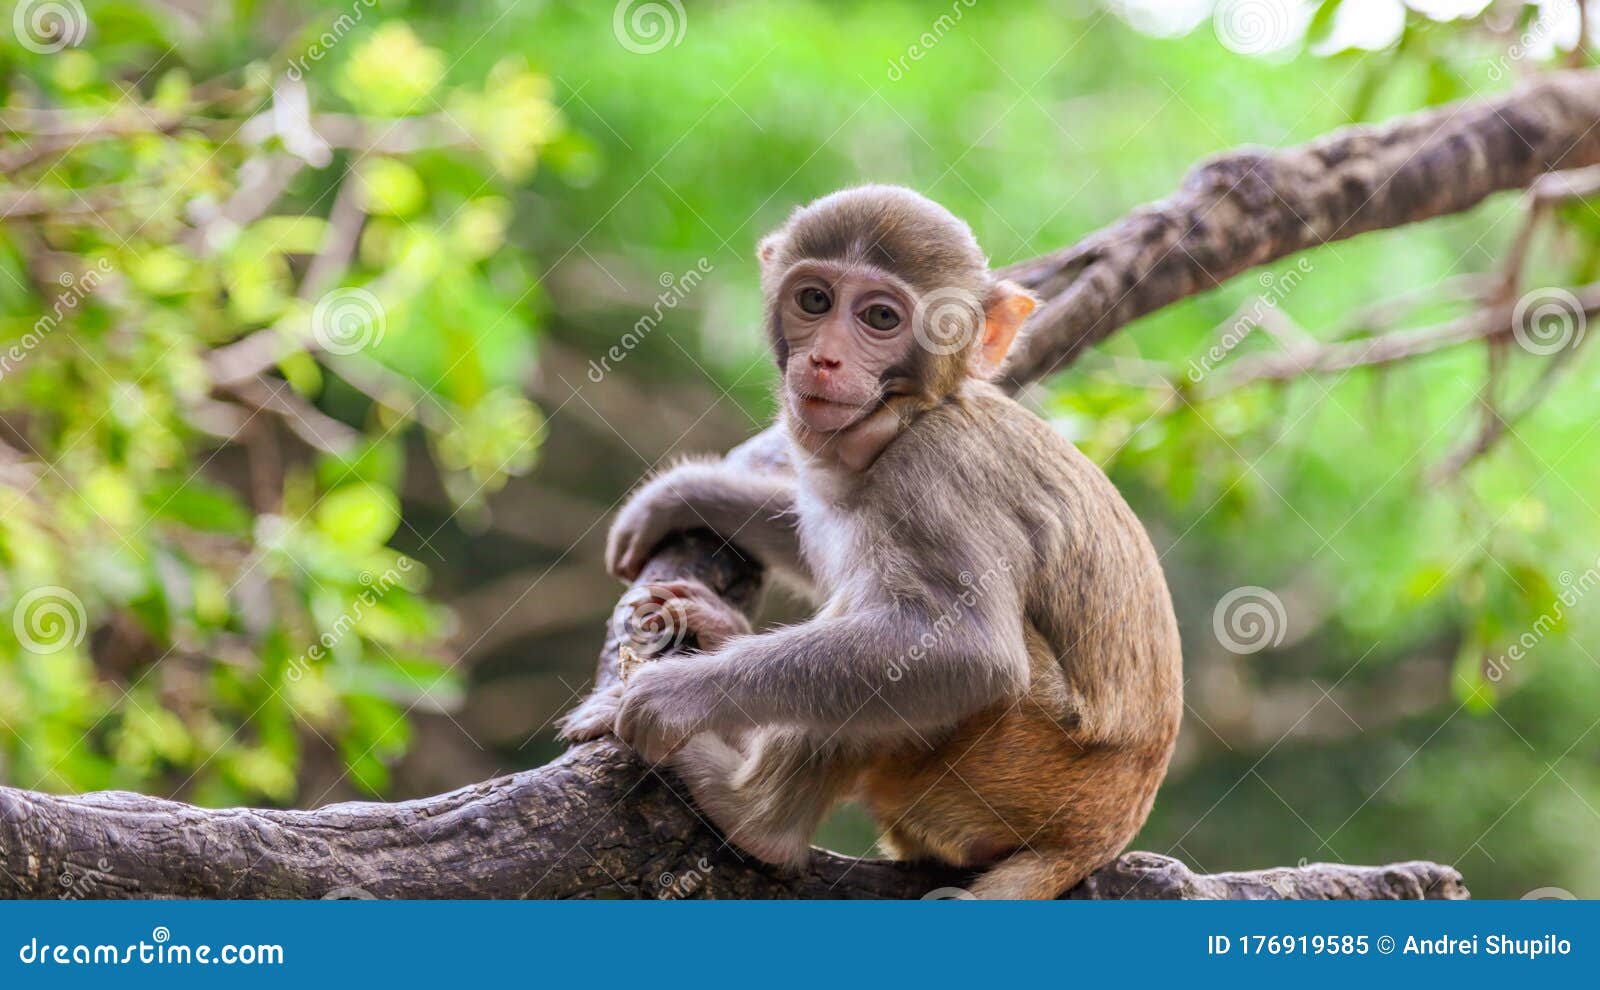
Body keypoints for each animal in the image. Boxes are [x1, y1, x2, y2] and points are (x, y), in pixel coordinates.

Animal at [584, 185, 1183, 899]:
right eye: (815, 300)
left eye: (879, 317)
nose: (825, 359)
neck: (912, 416)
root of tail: (1100, 833)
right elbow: (821, 523)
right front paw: (681, 494)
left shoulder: (935, 473)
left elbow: (968, 652)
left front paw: (672, 699)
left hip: (1026, 763)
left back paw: (753, 816)